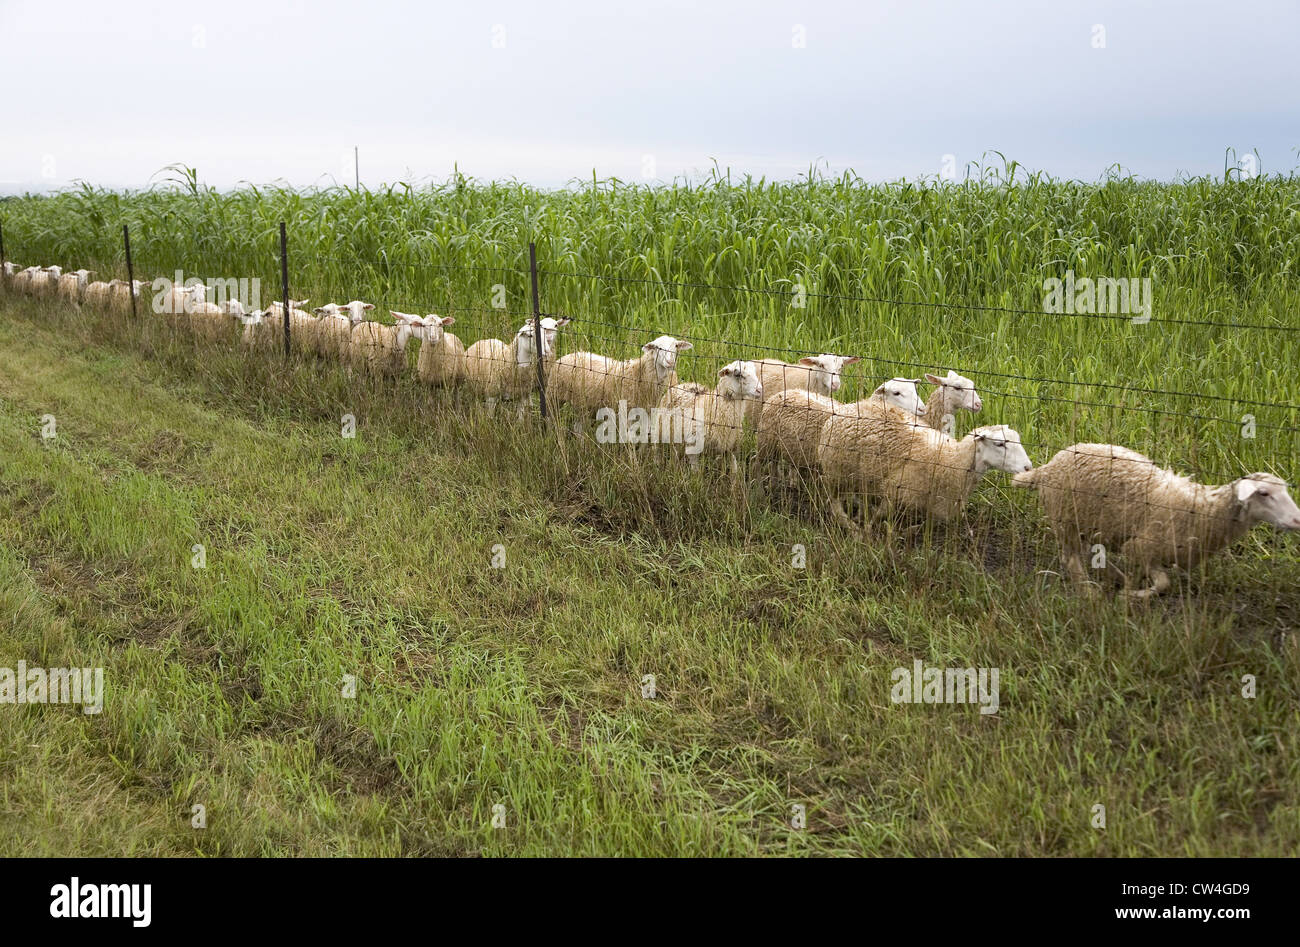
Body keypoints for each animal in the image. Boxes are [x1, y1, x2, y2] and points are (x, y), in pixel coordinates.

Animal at [547, 335, 693, 430]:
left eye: (676, 346)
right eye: (657, 347)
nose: (670, 362)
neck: (639, 374)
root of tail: (569, 354)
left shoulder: (648, 413)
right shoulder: (627, 413)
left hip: (582, 403)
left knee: (578, 426)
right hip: (554, 396)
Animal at [1012, 444, 1300, 598]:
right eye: (1264, 494)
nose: (1297, 519)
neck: (1204, 510)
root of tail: (1048, 467)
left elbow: (1159, 580)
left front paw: (1129, 587)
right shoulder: (1142, 548)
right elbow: (1163, 584)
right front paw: (1132, 594)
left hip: (1088, 521)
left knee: (1088, 551)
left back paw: (1112, 577)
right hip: (1066, 520)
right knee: (1071, 558)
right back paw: (1089, 590)